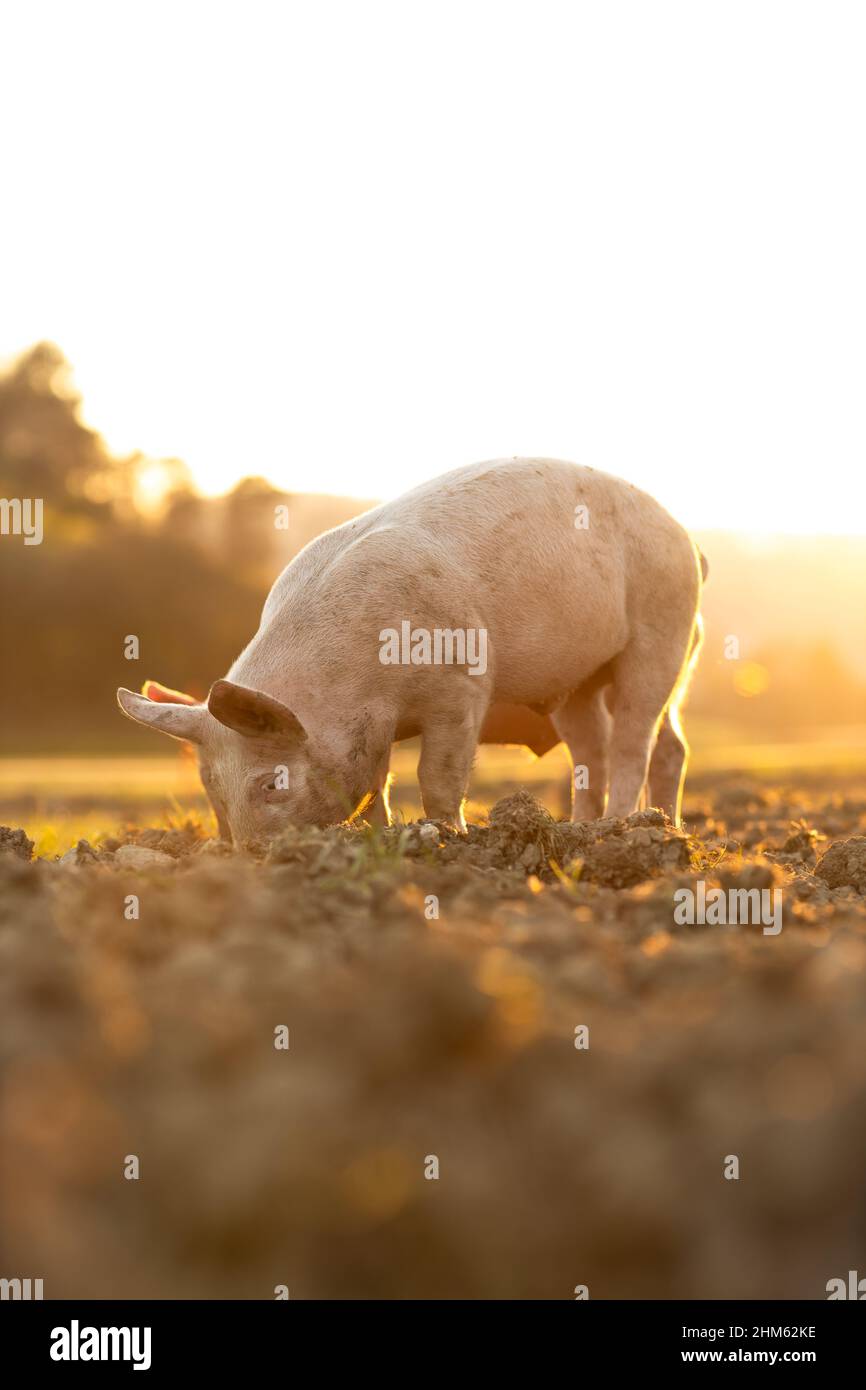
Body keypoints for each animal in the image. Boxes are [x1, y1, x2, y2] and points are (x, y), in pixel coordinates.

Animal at [117, 458, 706, 848]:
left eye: (271, 782)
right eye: (210, 786)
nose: (254, 856)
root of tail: (687, 538)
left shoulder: (463, 687)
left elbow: (436, 773)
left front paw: (447, 836)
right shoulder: (369, 729)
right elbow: (377, 782)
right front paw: (382, 834)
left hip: (662, 632)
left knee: (637, 740)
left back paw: (619, 827)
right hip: (578, 679)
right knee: (614, 748)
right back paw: (602, 827)